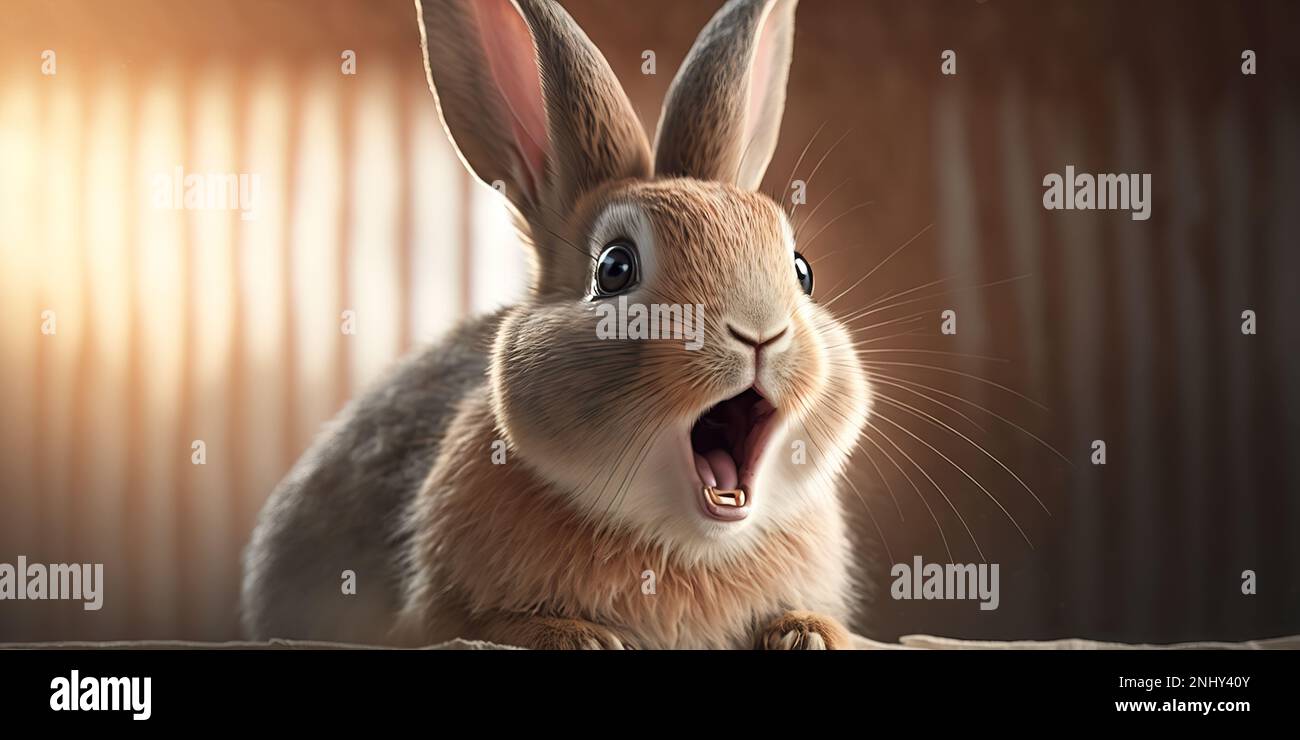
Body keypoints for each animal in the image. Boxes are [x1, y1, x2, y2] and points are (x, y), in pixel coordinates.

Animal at [241, 0, 872, 650]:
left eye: (802, 272)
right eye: (614, 269)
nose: (758, 332)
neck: (688, 545)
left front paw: (807, 632)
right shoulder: (435, 616)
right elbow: (480, 623)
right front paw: (579, 636)